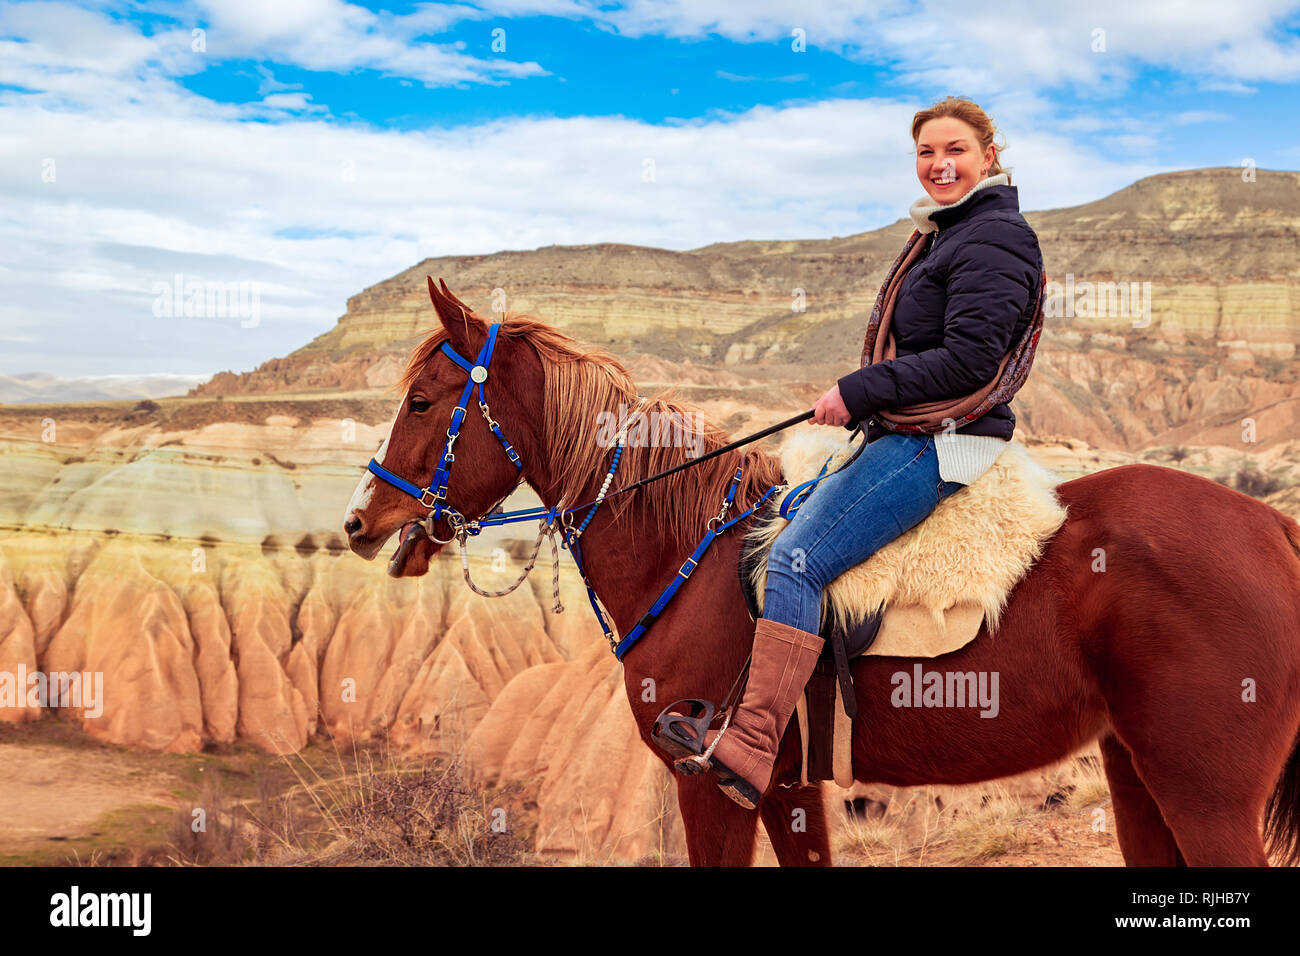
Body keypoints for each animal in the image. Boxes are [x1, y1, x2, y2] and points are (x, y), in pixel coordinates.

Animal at [344, 278, 1300, 867]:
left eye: (421, 401)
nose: (359, 521)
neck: (686, 558)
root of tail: (1274, 527)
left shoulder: (713, 790)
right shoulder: (789, 791)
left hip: (1206, 794)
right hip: (1136, 772)